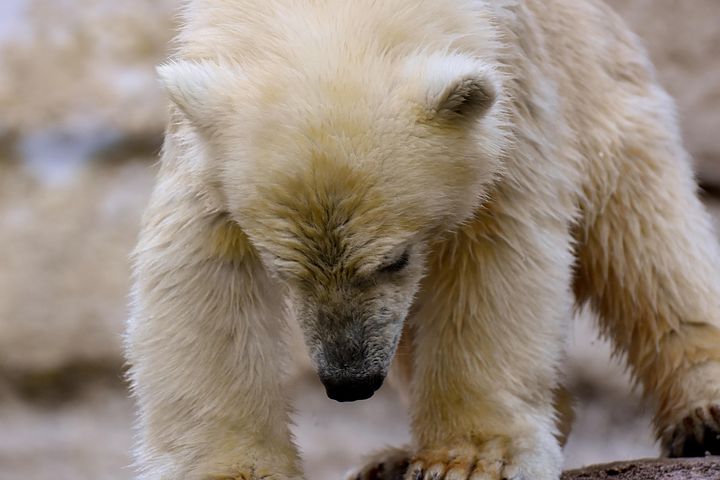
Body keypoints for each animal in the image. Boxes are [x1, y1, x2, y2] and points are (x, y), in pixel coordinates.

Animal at [125, 0, 720, 478]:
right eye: (284, 269)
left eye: (396, 258)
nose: (350, 381)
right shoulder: (201, 152)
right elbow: (201, 278)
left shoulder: (510, 101)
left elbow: (496, 254)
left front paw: (471, 460)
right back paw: (388, 462)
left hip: (597, 77)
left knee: (644, 233)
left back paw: (705, 418)